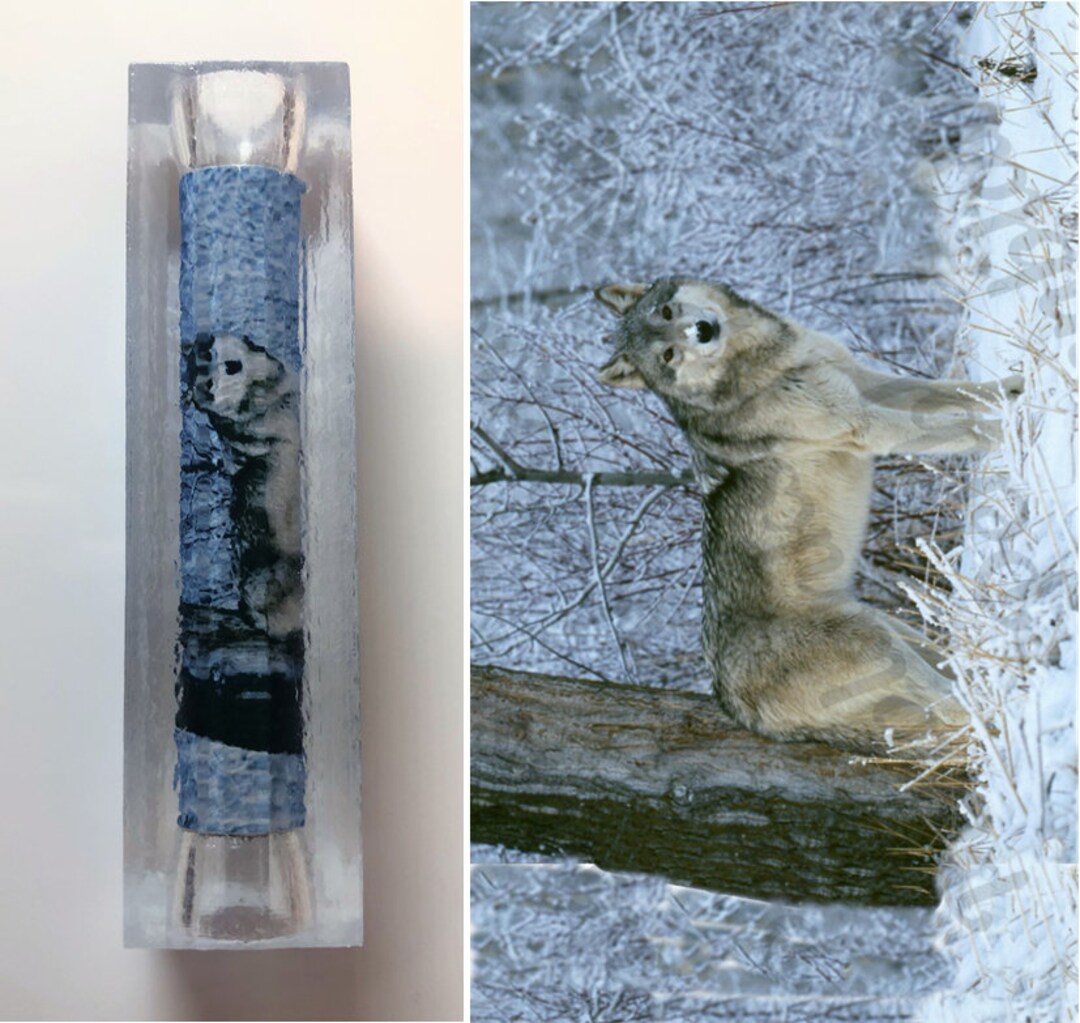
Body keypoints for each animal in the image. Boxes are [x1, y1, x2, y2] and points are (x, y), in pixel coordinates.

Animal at [595, 277, 1021, 753]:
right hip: (880, 644)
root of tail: (739, 710)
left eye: (667, 313)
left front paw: (1020, 384)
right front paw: (1020, 426)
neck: (766, 366)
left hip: (898, 632)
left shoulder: (864, 382)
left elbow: (958, 392)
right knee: (956, 709)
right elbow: (967, 427)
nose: (702, 331)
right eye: (668, 356)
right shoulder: (867, 423)